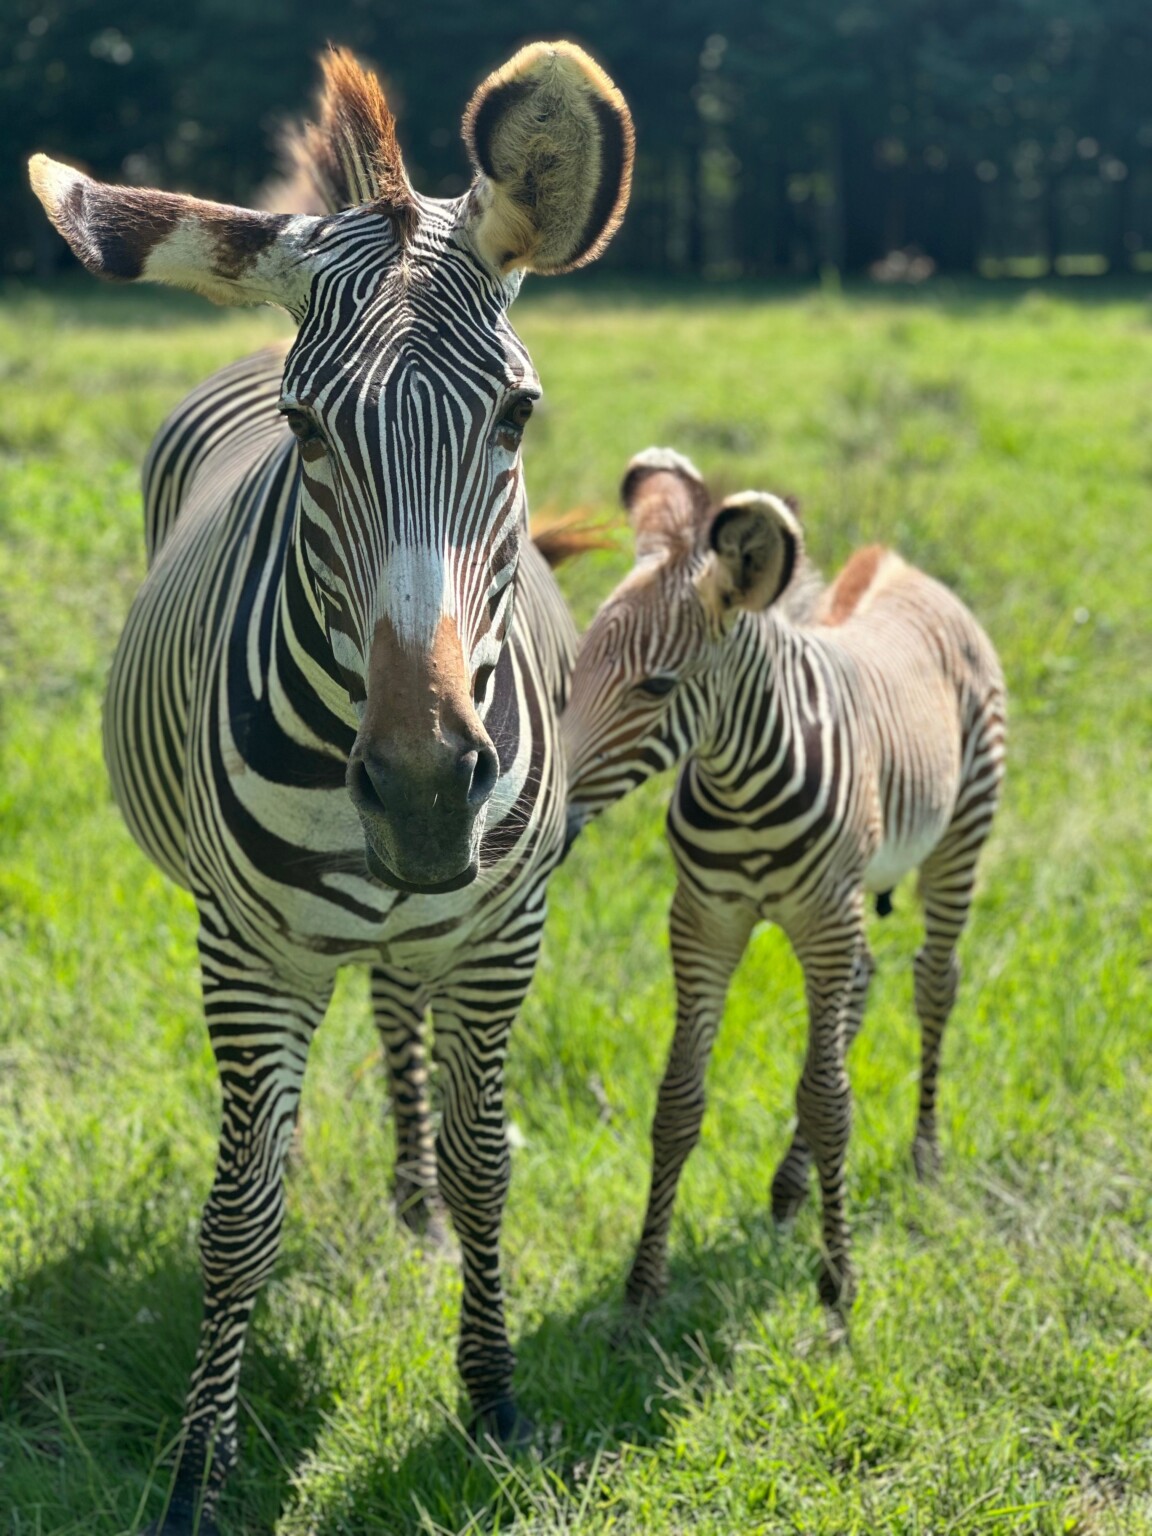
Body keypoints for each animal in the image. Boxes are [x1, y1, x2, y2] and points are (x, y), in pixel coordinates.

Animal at [29, 43, 633, 1534]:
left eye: (517, 415)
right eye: (307, 429)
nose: (421, 792)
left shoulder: (499, 934)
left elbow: (488, 1166)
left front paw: (493, 1402)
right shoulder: (247, 953)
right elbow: (239, 1215)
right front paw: (200, 1470)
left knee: (402, 1013)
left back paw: (411, 1199)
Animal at [563, 447, 1006, 1320]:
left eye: (656, 686)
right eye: (580, 659)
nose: (522, 811)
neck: (741, 789)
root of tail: (904, 569)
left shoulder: (825, 917)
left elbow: (830, 1101)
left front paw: (838, 1286)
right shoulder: (702, 920)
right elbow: (678, 1101)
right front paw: (641, 1290)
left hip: (960, 834)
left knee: (934, 982)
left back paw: (924, 1156)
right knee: (865, 985)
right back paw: (790, 1187)